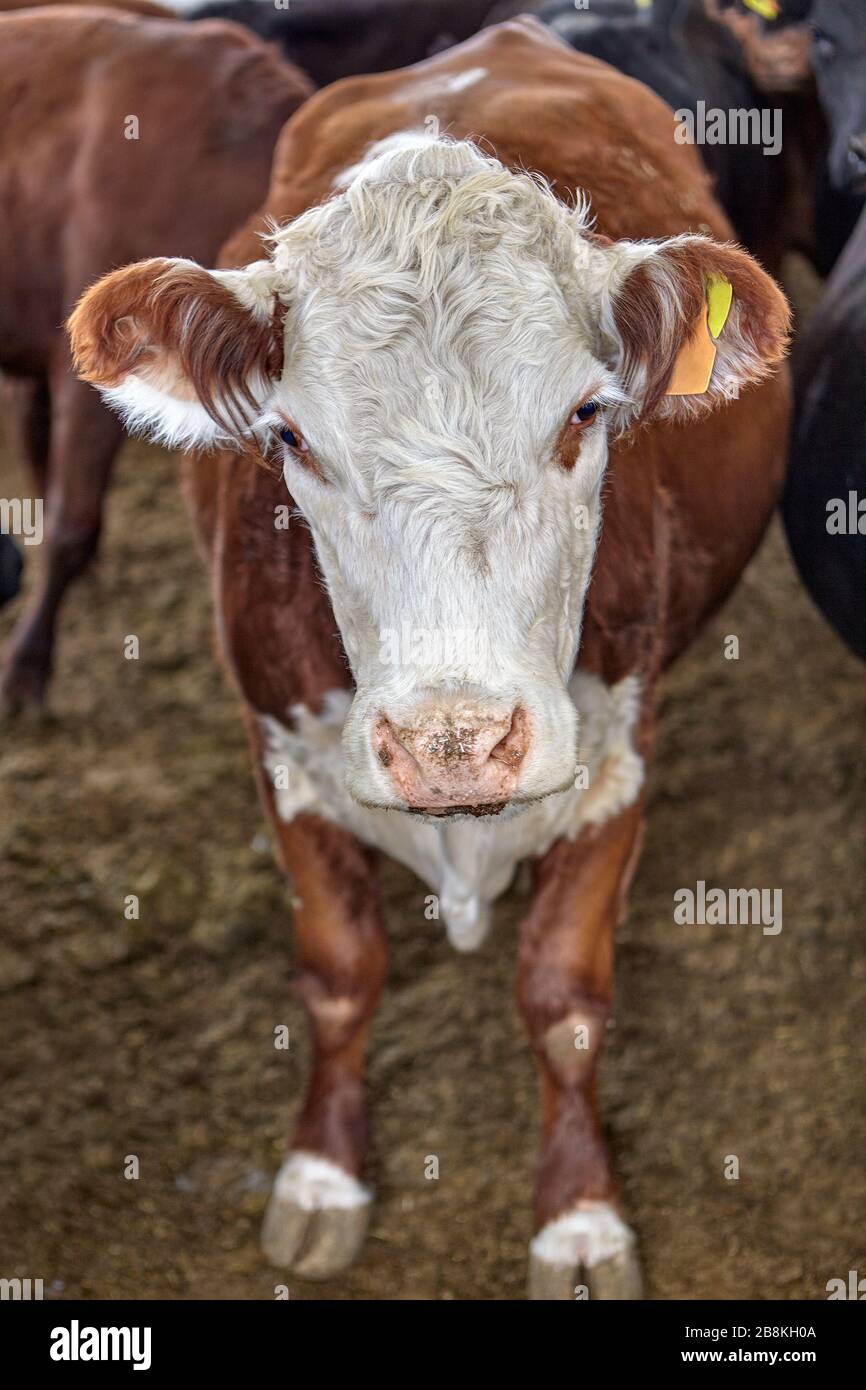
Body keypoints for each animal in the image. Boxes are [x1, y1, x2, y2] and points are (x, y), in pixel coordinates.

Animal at [68, 17, 790, 1297]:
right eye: (290, 436)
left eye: (584, 412)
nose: (453, 742)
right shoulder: (281, 748)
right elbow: (339, 971)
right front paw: (320, 1176)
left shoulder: (617, 756)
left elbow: (563, 996)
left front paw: (579, 1220)